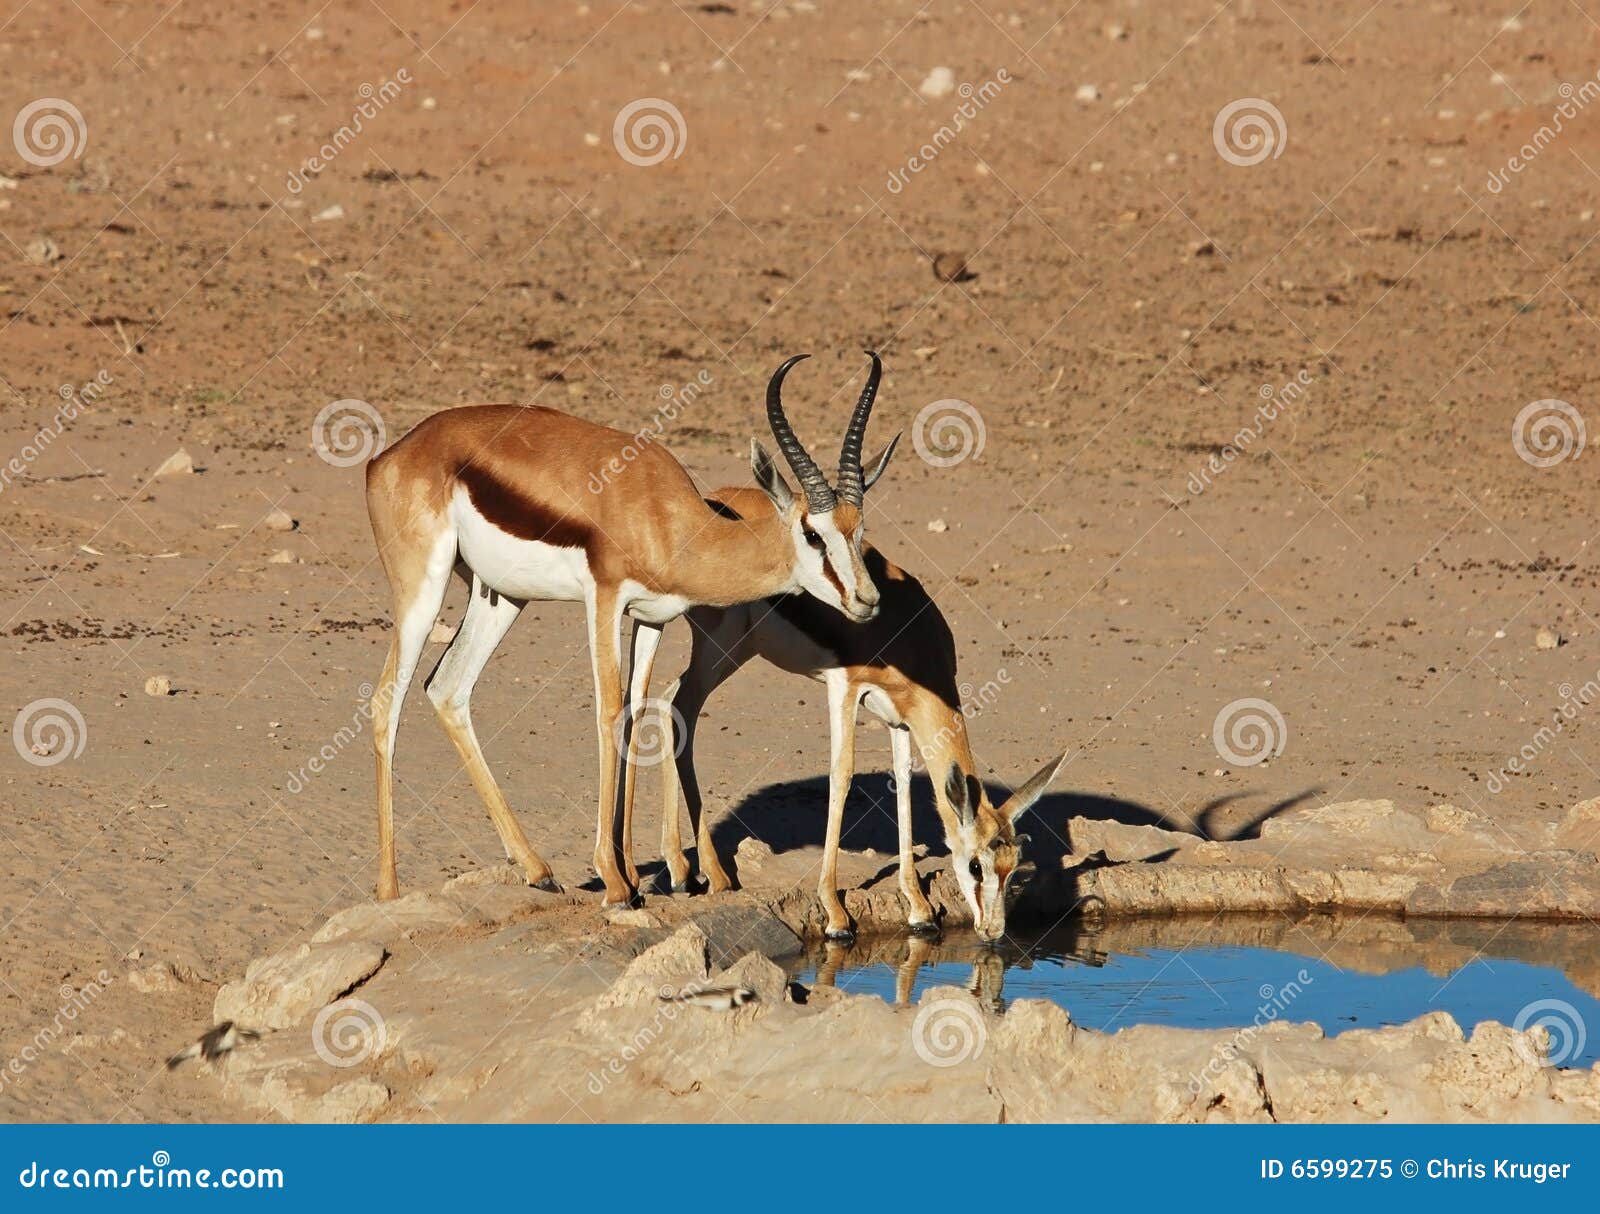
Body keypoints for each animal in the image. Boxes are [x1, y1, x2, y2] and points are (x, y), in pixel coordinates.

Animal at [365, 352, 894, 907]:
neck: (666, 518)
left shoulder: (650, 617)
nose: (867, 600)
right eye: (813, 534)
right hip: (423, 591)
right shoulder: (603, 600)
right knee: (386, 700)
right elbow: (607, 711)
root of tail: (392, 455)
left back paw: (538, 870)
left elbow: (635, 713)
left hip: (500, 597)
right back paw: (389, 891)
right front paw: (616, 882)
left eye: (858, 529)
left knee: (447, 689)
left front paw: (634, 875)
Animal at [649, 521, 1066, 942]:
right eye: (976, 866)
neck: (905, 631)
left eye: (1013, 865)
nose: (993, 931)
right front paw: (835, 914)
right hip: (722, 644)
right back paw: (698, 873)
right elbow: (842, 775)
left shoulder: (899, 718)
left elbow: (903, 781)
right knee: (679, 704)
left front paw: (919, 909)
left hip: (736, 650)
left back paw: (687, 872)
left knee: (674, 703)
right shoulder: (844, 688)